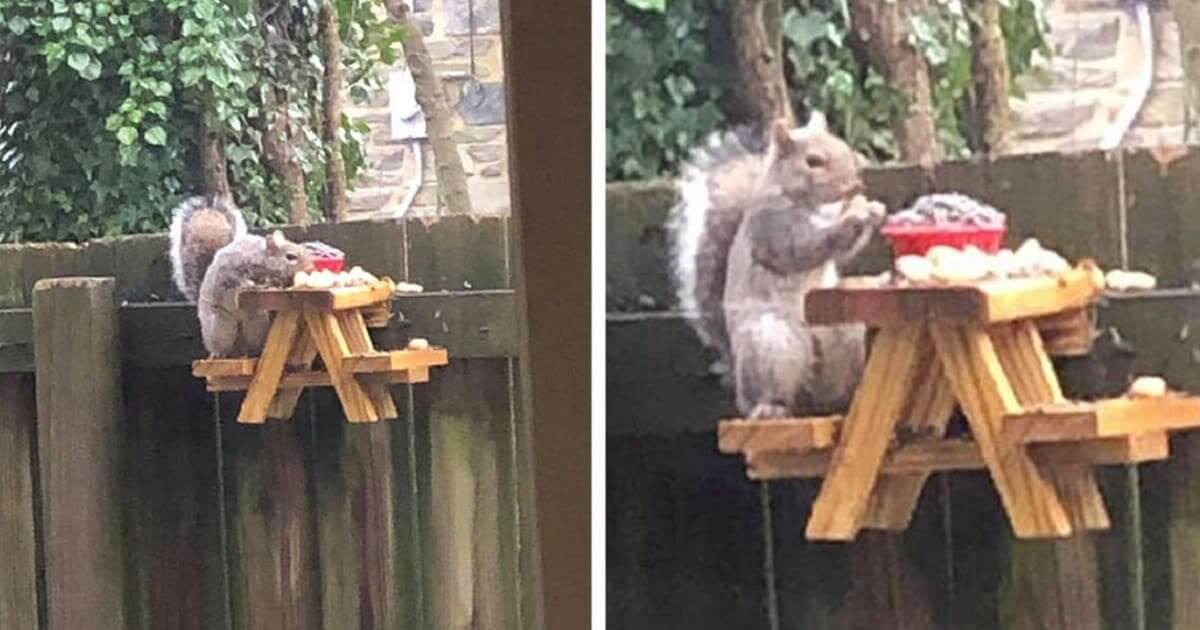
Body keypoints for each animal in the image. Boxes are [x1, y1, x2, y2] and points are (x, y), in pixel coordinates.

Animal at [168, 195, 314, 358]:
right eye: (290, 257)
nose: (310, 268)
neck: (257, 256)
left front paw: (273, 284)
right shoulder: (230, 267)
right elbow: (234, 280)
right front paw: (247, 284)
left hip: (256, 324)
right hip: (220, 327)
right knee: (220, 346)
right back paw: (218, 353)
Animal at [668, 111, 885, 419]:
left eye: (843, 144)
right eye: (813, 161)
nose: (855, 184)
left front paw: (872, 209)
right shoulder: (772, 227)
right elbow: (803, 247)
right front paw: (854, 214)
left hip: (843, 335)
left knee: (824, 394)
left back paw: (839, 400)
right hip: (770, 344)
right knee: (772, 394)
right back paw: (771, 407)